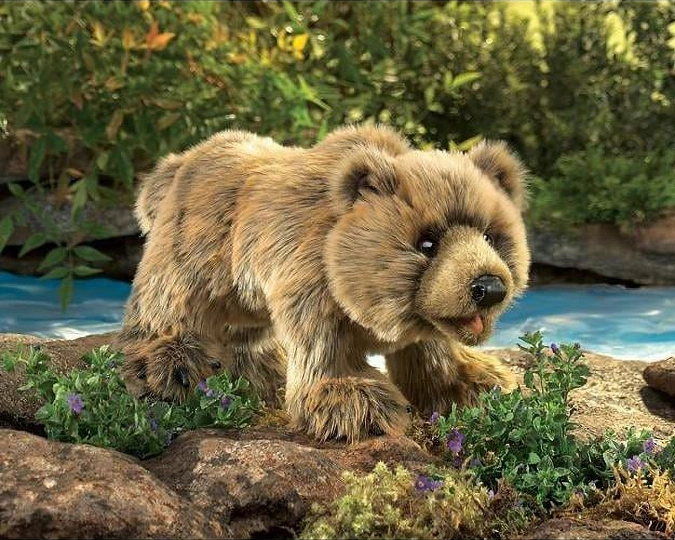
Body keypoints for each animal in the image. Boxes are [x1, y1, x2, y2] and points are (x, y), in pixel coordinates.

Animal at [115, 124, 530, 442]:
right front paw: (359, 403)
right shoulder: (310, 281)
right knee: (168, 302)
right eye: (427, 242)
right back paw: (168, 366)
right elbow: (324, 349)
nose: (489, 288)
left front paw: (482, 382)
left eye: (491, 235)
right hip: (198, 248)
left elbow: (432, 356)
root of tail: (178, 162)